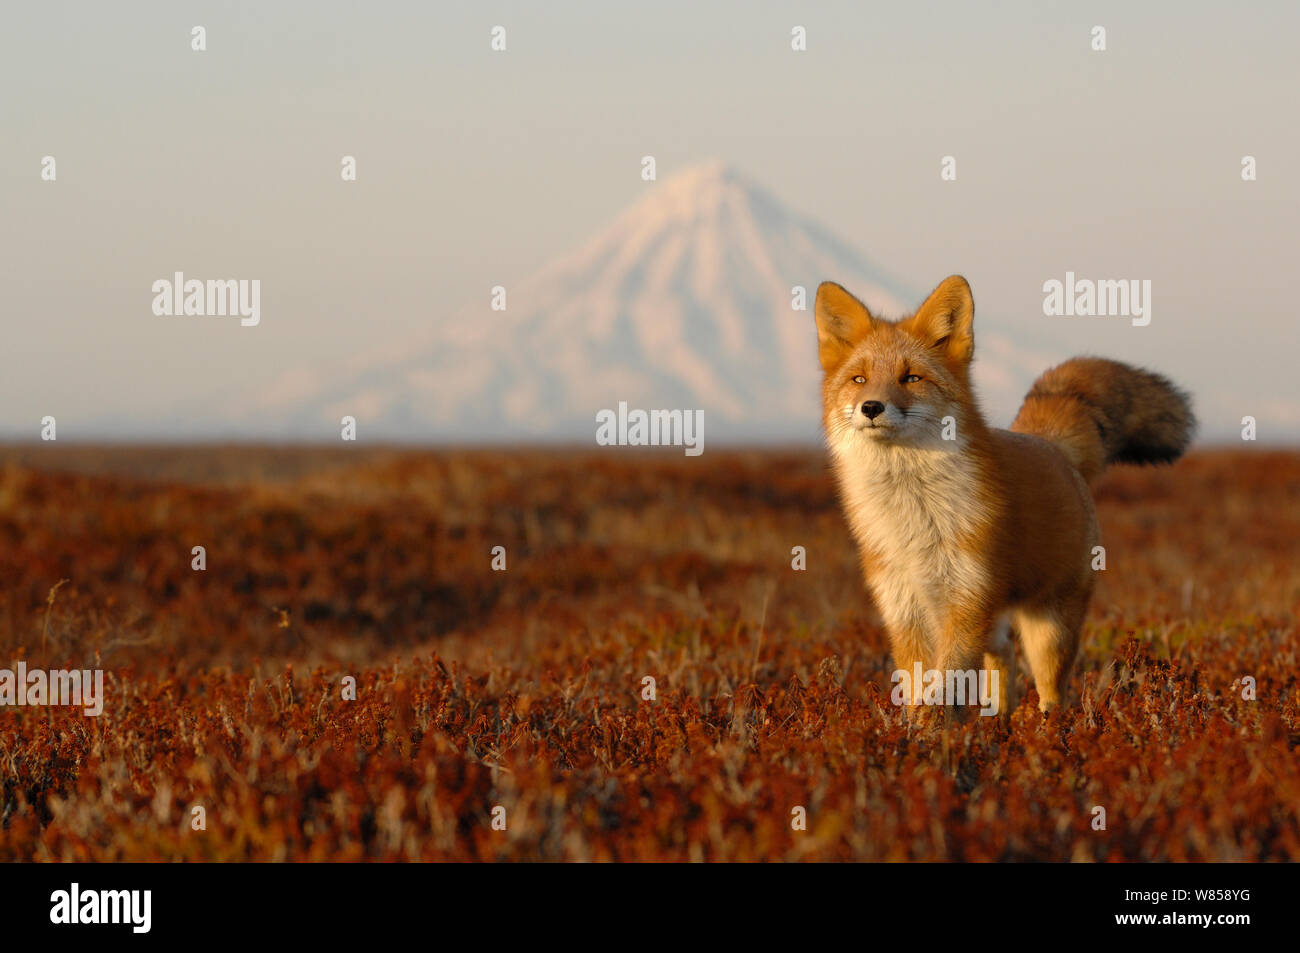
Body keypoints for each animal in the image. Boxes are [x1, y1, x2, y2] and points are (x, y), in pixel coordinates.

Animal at [813, 275, 1194, 716]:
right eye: (859, 379)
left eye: (911, 378)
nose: (871, 407)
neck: (915, 517)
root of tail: (1050, 443)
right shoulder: (904, 608)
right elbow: (918, 688)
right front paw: (912, 731)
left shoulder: (965, 602)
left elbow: (944, 691)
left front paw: (933, 732)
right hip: (995, 621)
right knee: (1005, 658)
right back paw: (1000, 721)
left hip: (1049, 627)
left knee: (1051, 690)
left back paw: (1045, 728)